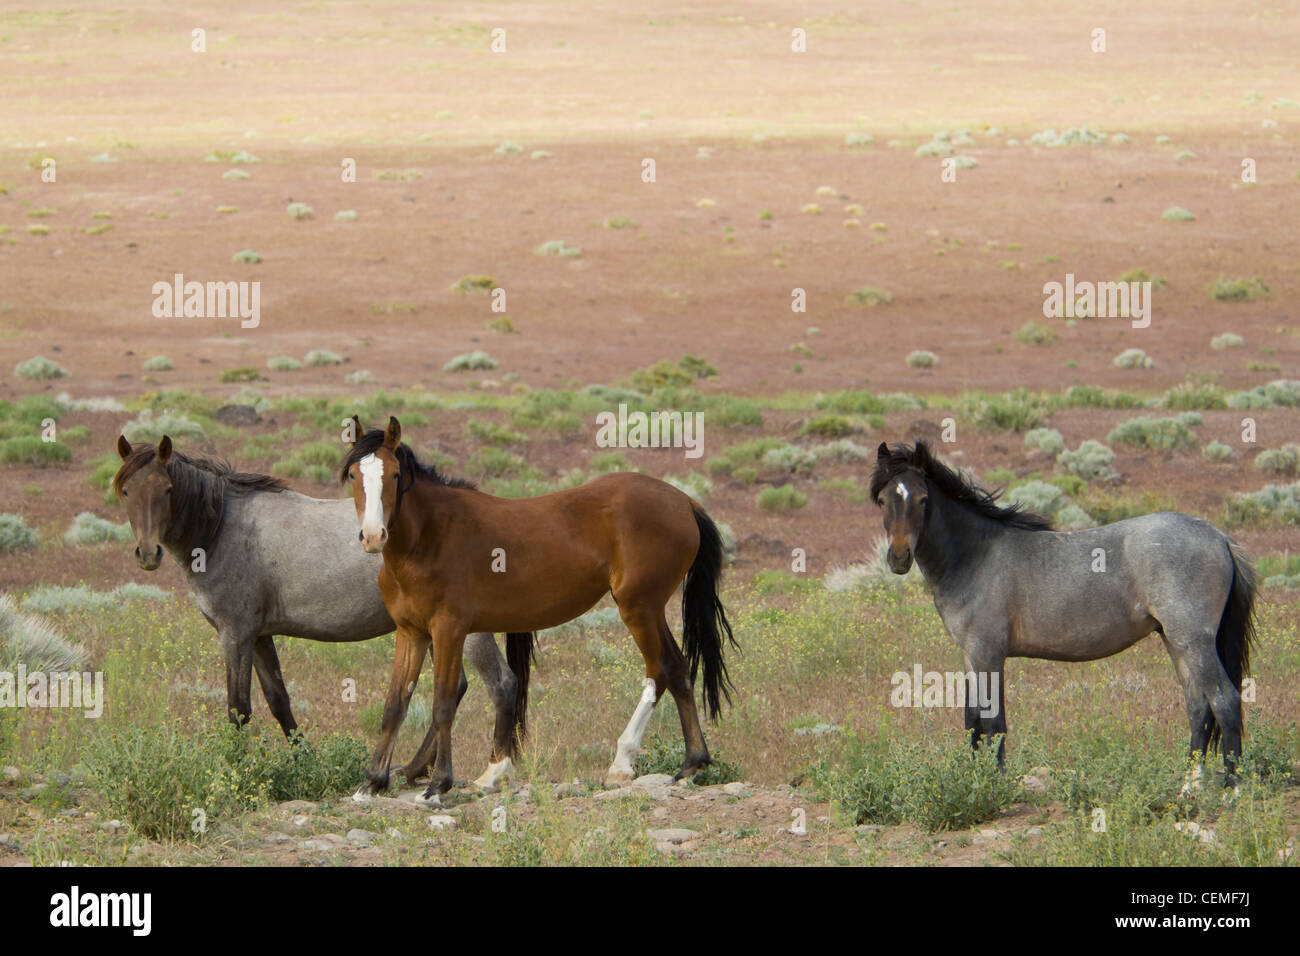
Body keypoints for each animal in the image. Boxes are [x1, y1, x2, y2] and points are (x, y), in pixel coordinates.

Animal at [113, 434, 530, 790]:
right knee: (457, 688)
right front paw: (306, 763)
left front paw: (235, 771)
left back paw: (488, 774)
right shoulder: (259, 636)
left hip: (466, 630)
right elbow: (278, 701)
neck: (222, 529)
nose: (147, 554)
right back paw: (413, 769)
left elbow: (238, 708)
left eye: (167, 490)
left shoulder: (235, 635)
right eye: (127, 491)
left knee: (501, 684)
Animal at [340, 416, 738, 802]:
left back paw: (624, 763)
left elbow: (442, 704)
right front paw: (371, 783)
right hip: (650, 610)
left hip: (638, 608)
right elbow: (395, 704)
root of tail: (684, 502)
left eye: (394, 475)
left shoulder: (449, 630)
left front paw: (438, 785)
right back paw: (692, 764)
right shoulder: (411, 632)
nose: (373, 536)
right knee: (679, 669)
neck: (429, 537)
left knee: (660, 671)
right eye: (354, 475)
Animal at [870, 440, 1258, 784]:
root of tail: (1219, 537)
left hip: (1193, 641)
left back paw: (1232, 789)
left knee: (1224, 701)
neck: (976, 556)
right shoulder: (969, 655)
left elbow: (994, 722)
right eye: (884, 500)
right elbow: (972, 720)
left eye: (923, 499)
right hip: (1176, 642)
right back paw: (1189, 787)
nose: (899, 558)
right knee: (1198, 707)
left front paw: (995, 786)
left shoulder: (987, 652)